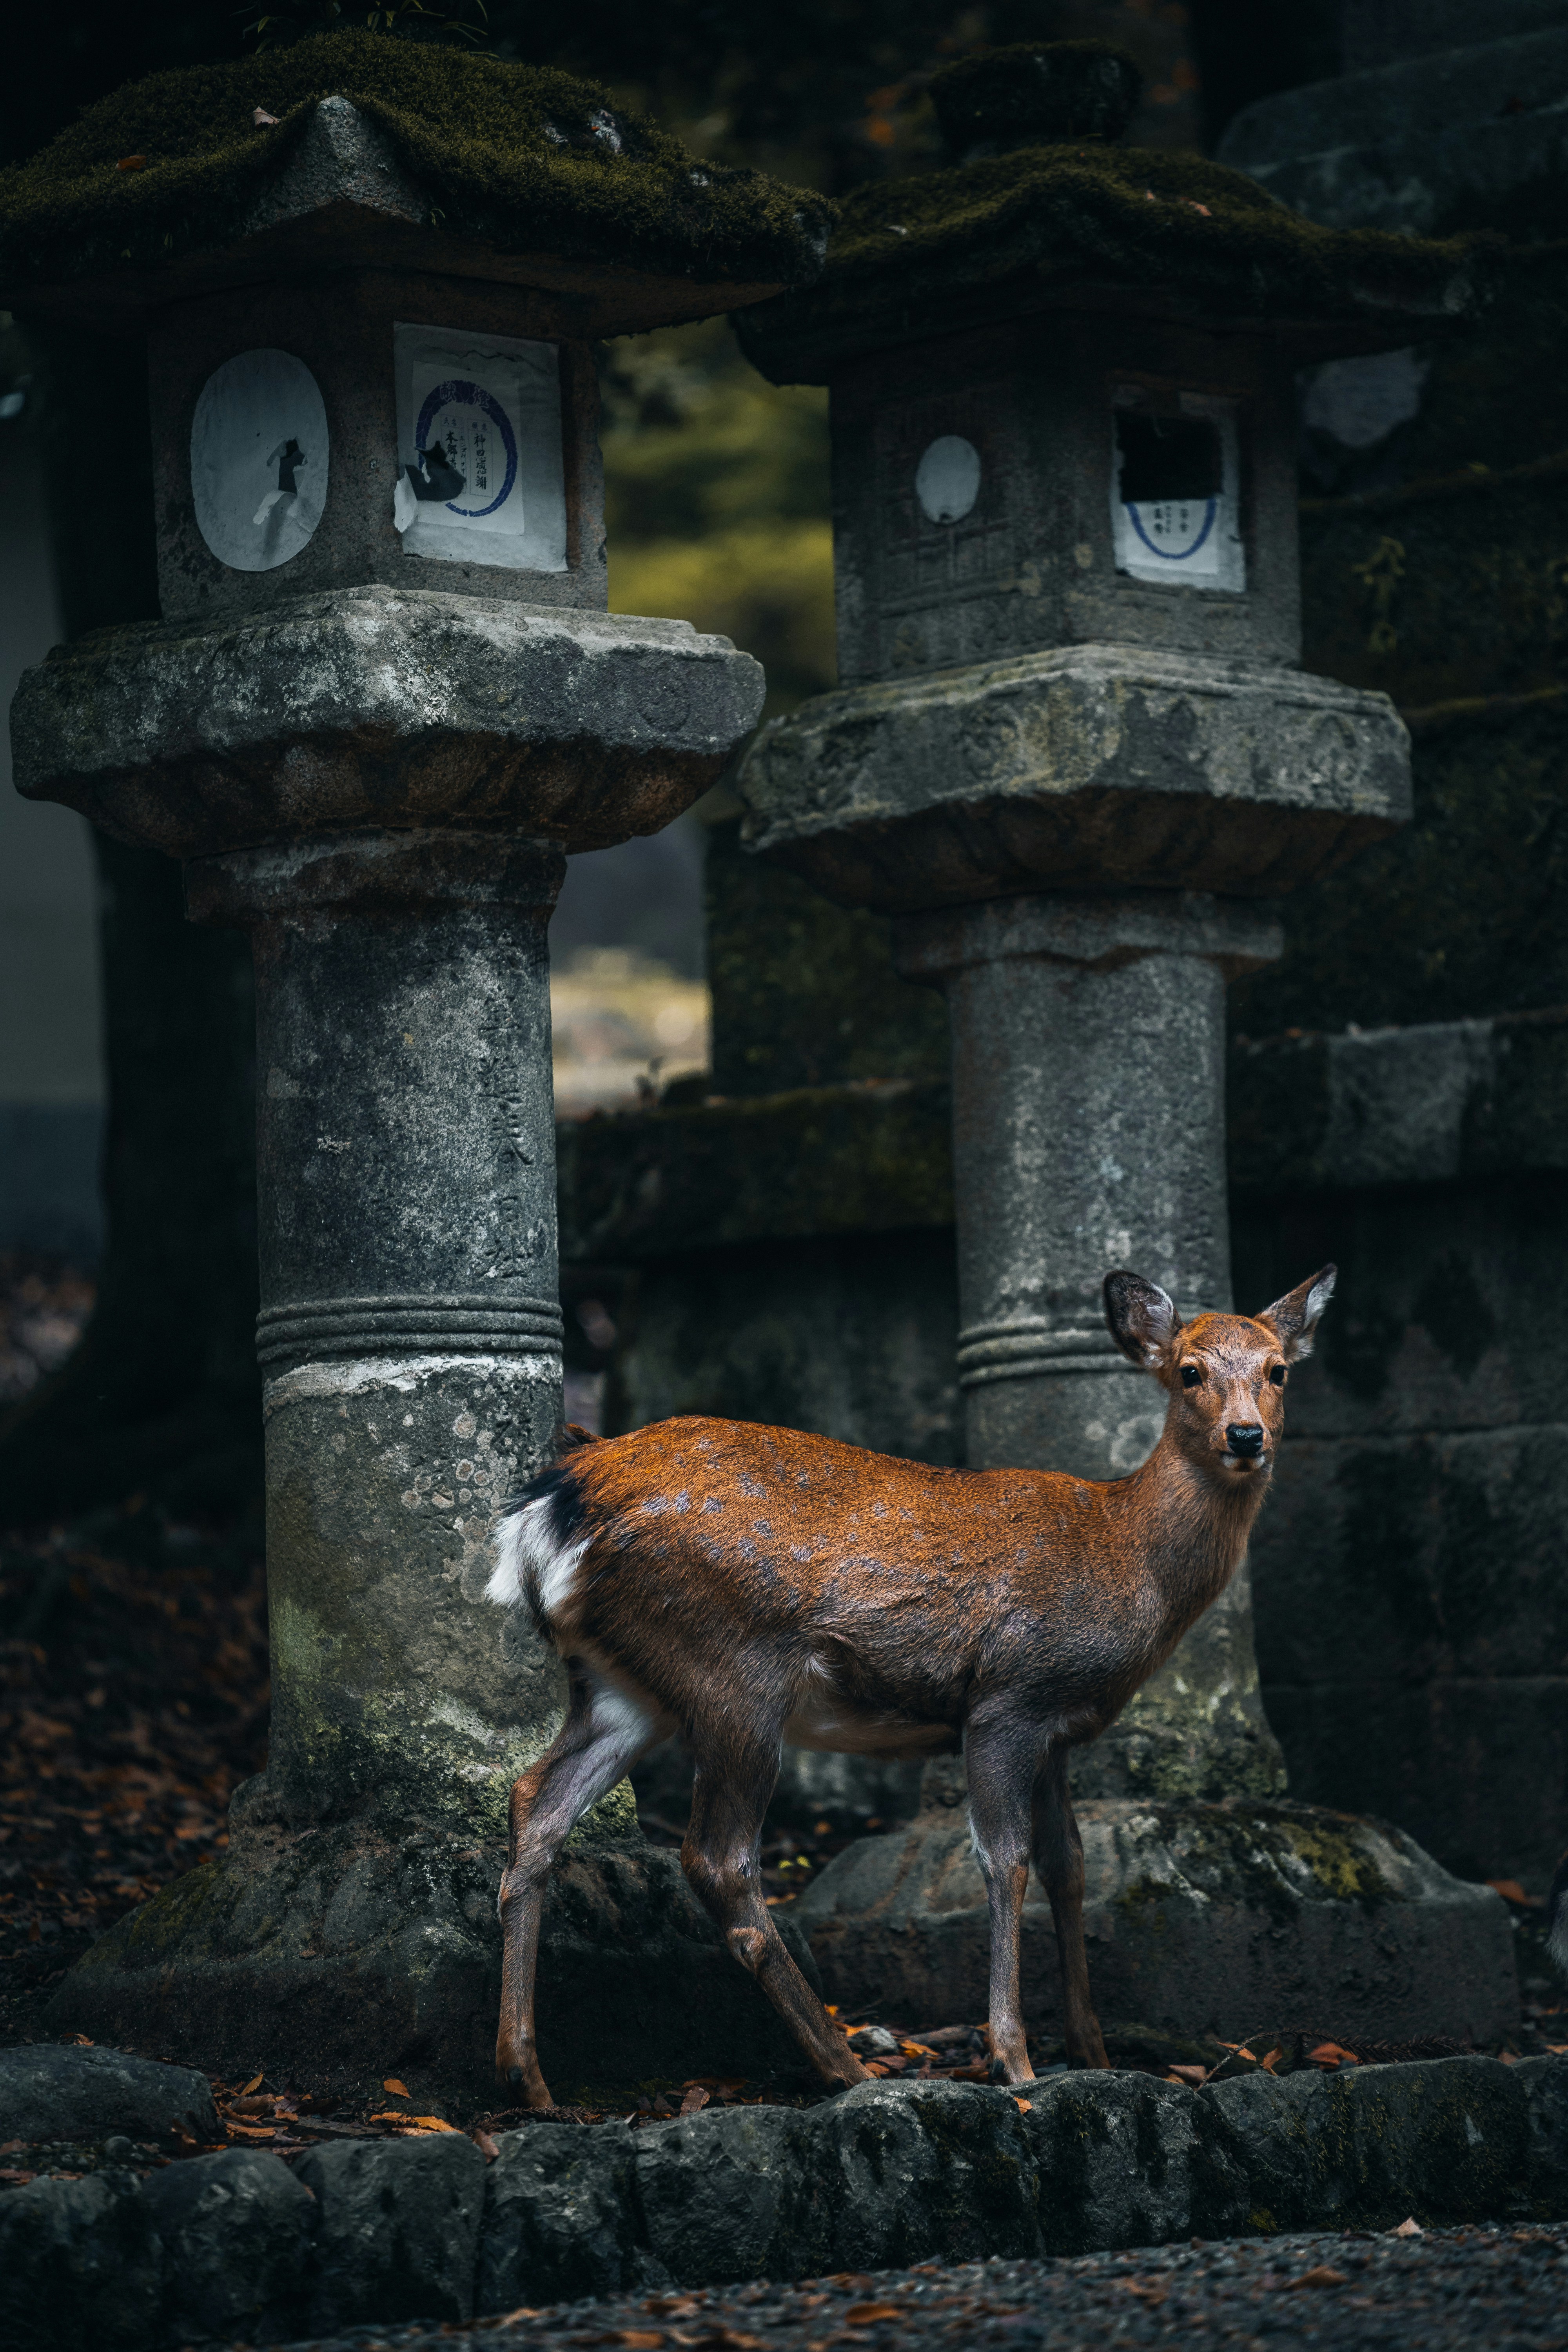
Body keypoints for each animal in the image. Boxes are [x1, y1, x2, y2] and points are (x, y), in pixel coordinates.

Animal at [485, 1261, 1336, 2108]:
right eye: (1188, 1371)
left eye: (1278, 1370)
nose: (1246, 1436)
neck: (1127, 1555)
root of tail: (558, 1501)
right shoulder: (1007, 1697)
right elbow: (1004, 1860)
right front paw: (1013, 2059)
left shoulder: (1057, 1728)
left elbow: (1069, 1867)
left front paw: (1093, 2050)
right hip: (732, 1670)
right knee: (717, 1860)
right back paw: (843, 2063)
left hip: (620, 1684)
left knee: (538, 1801)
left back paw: (527, 2074)